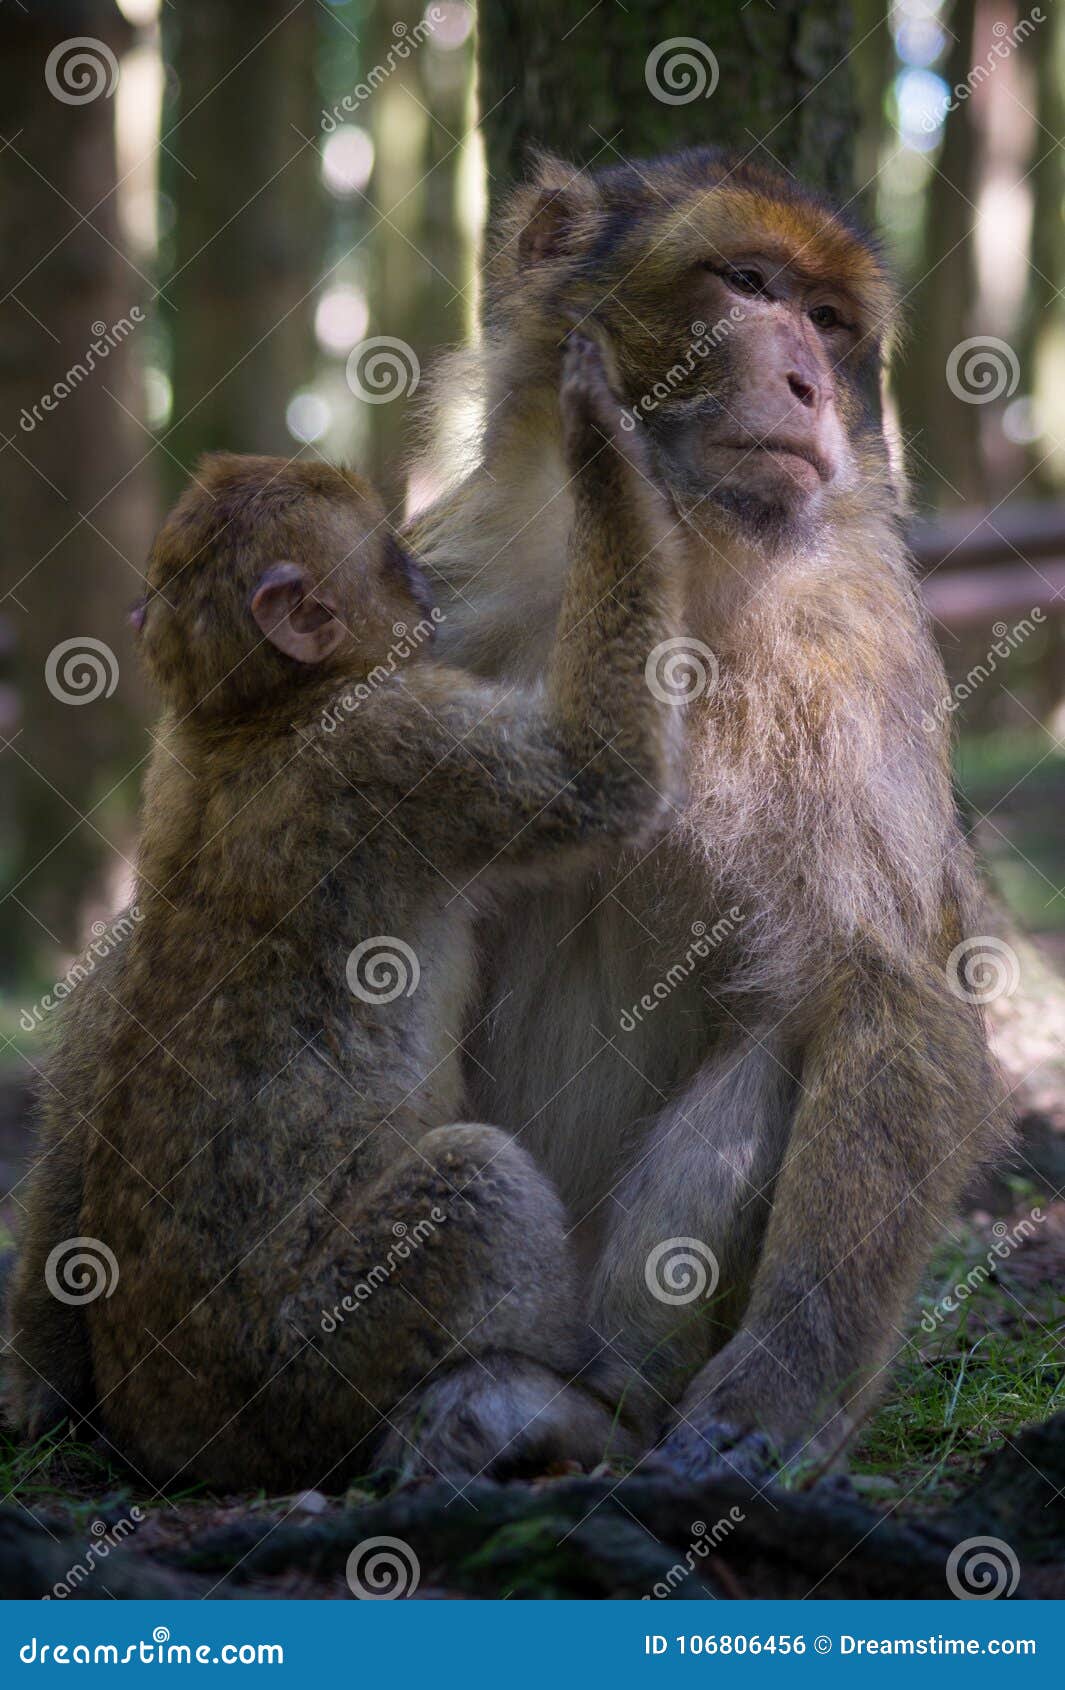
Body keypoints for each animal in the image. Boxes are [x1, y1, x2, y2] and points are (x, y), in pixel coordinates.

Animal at [4, 332, 688, 1490]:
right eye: (392, 559)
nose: (427, 584)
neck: (248, 716)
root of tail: (180, 1436)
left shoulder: (176, 757)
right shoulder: (396, 746)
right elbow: (596, 775)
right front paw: (600, 445)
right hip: (304, 1364)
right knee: (476, 1183)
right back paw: (574, 1414)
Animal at [405, 148, 1009, 1483]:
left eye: (828, 321)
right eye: (748, 284)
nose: (807, 381)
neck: (669, 569)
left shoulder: (864, 657)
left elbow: (891, 990)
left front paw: (774, 1396)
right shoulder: (421, 608)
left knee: (785, 1033)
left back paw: (592, 1410)